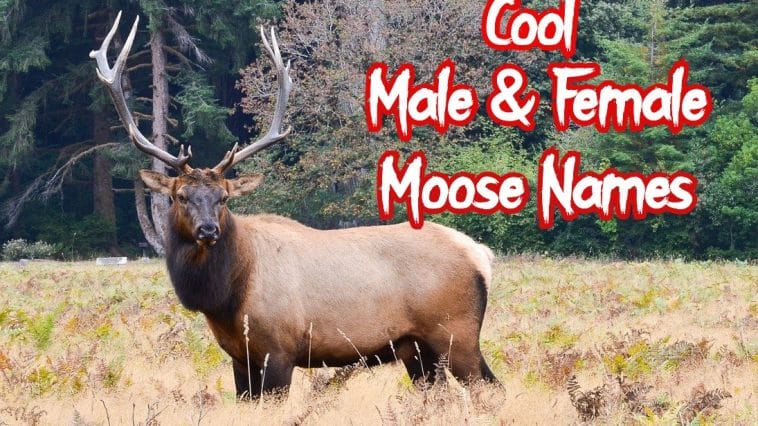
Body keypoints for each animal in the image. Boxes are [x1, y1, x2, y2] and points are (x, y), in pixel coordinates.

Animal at [91, 12, 499, 398]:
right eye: (180, 196)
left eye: (224, 198)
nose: (208, 229)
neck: (228, 297)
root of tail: (481, 253)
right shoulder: (240, 357)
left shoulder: (279, 350)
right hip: (416, 349)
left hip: (456, 332)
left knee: (490, 389)